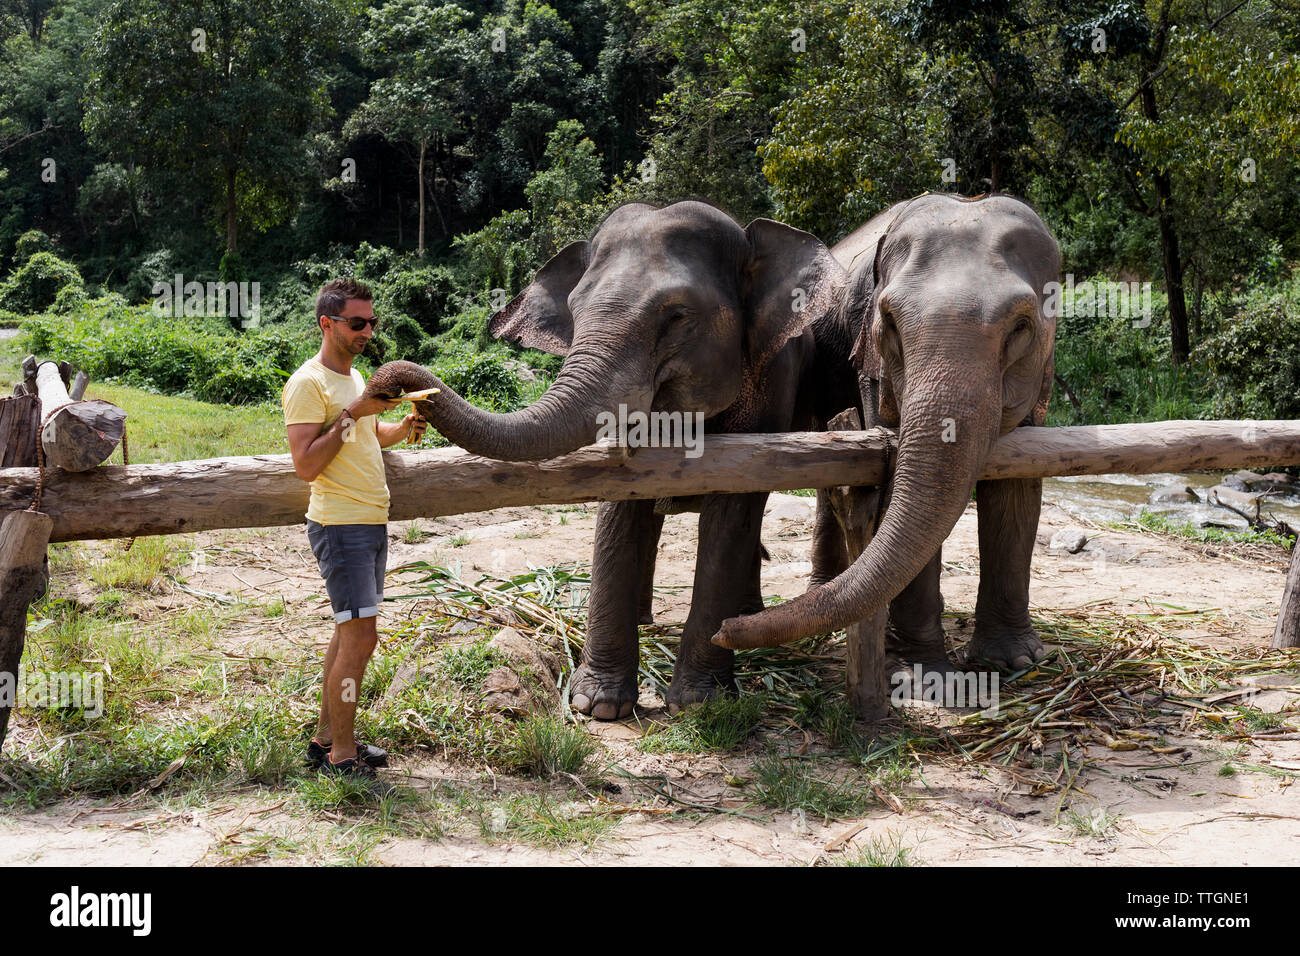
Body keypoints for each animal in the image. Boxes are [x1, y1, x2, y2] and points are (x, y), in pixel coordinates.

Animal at [363, 200, 850, 717]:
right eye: (575, 311)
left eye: (678, 315)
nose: (390, 387)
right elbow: (621, 495)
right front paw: (596, 705)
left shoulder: (774, 378)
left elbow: (734, 503)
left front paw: (699, 704)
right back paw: (651, 618)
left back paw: (746, 616)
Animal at [712, 193, 1062, 679]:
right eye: (890, 321)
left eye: (1021, 326)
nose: (722, 629)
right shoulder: (870, 362)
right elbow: (896, 471)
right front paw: (923, 672)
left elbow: (1019, 485)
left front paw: (1014, 661)